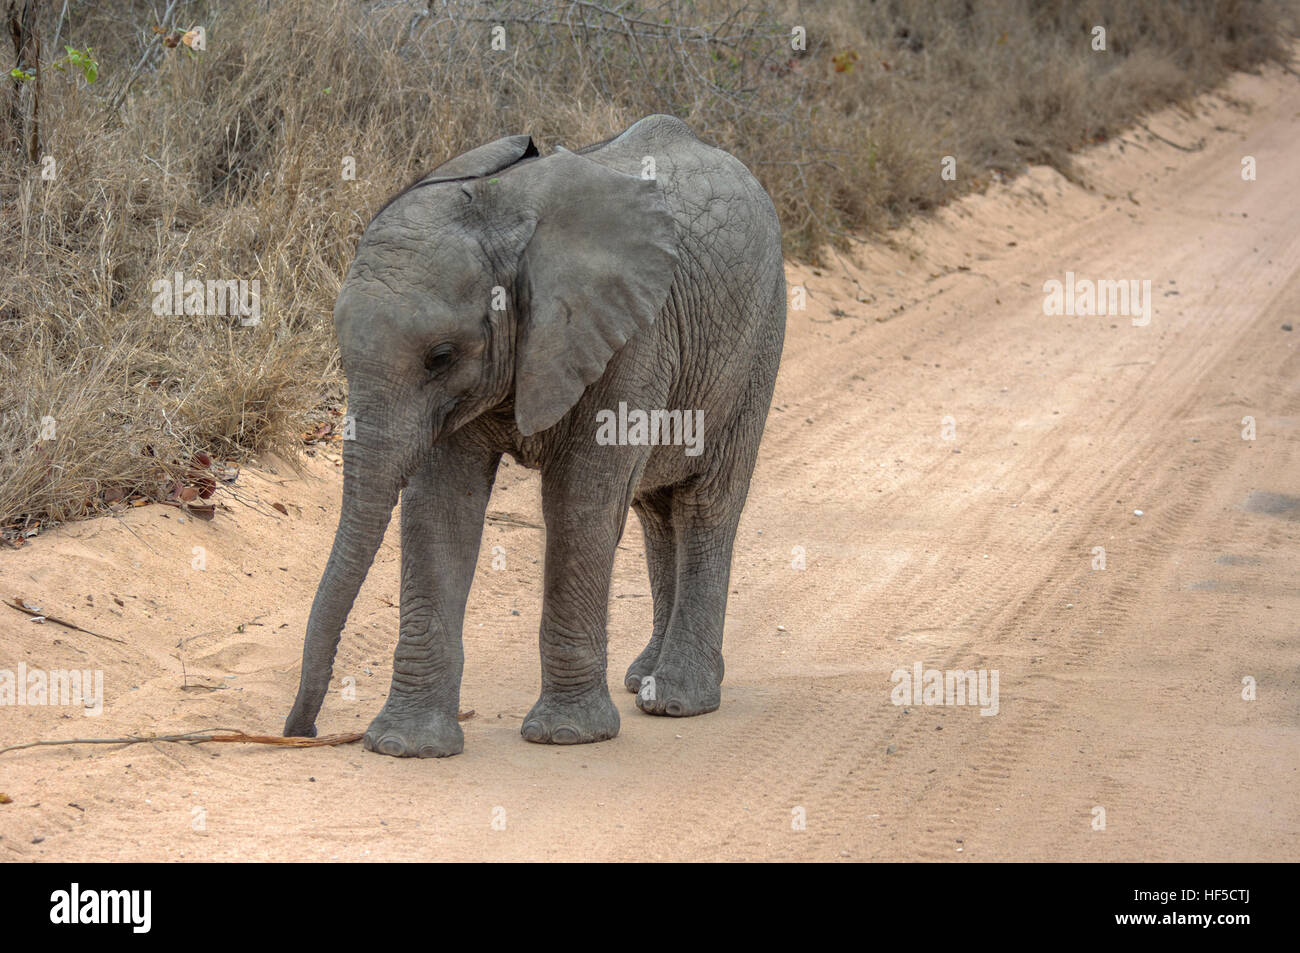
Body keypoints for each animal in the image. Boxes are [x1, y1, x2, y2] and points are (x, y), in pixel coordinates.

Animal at [283, 114, 786, 756]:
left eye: (440, 356)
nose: (300, 731)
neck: (505, 216)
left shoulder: (630, 335)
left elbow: (579, 503)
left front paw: (566, 736)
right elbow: (438, 507)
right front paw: (406, 747)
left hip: (758, 339)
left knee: (705, 502)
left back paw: (678, 699)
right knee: (655, 507)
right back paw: (643, 681)